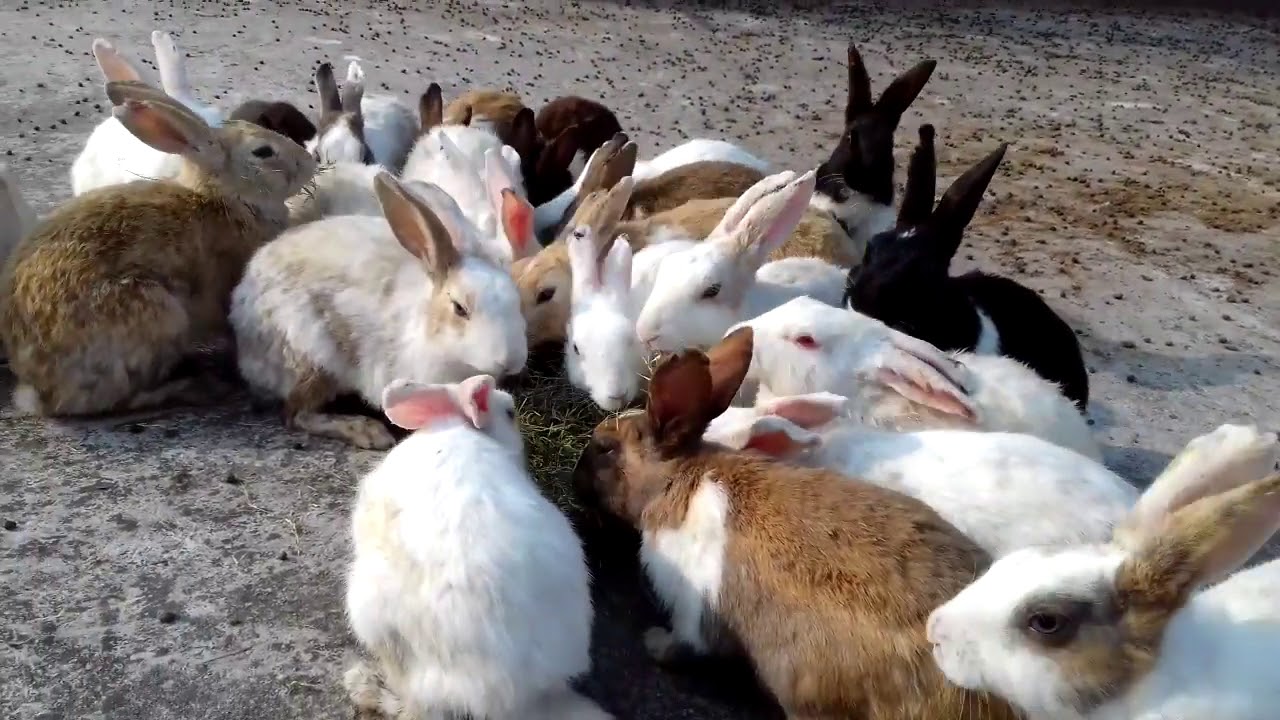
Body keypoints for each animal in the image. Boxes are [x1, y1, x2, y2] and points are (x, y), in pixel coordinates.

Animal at [2, 80, 315, 416]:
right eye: (263, 152)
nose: (309, 162)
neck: (227, 199)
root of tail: (39, 388)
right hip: (157, 314)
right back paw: (194, 387)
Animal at [229, 172, 528, 450]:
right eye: (459, 308)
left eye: (517, 301)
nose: (511, 361)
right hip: (313, 358)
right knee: (296, 413)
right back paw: (368, 432)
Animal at [571, 327, 1019, 720]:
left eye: (605, 448)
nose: (575, 479)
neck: (678, 480)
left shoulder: (692, 608)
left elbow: (686, 644)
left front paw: (654, 643)